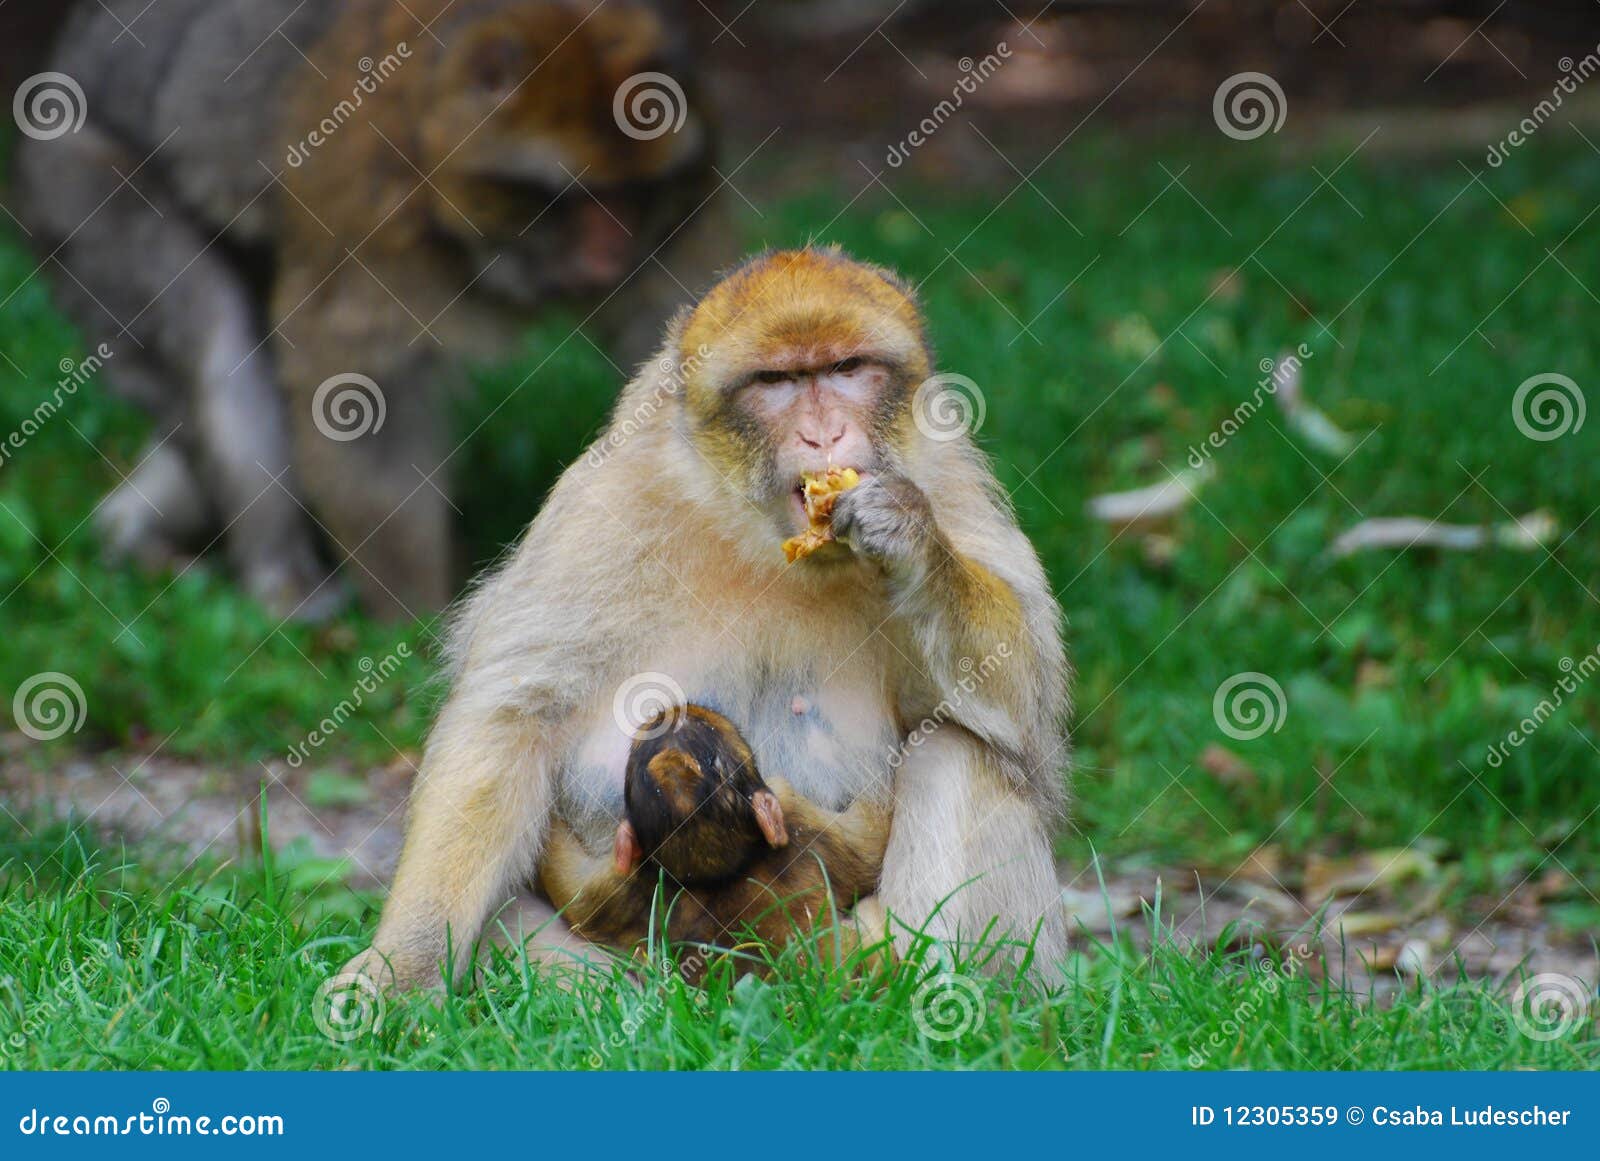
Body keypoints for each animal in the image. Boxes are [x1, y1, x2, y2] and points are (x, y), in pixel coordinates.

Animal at [9, 0, 721, 619]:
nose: (613, 251)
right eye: (579, 198)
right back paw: (282, 581)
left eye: (635, 195)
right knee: (213, 344)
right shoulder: (374, 209)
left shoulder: (679, 211)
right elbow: (361, 395)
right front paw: (414, 617)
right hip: (78, 191)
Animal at [538, 704, 889, 977]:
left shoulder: (622, 884)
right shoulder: (798, 814)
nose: (673, 710)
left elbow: (575, 896)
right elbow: (871, 844)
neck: (713, 871)